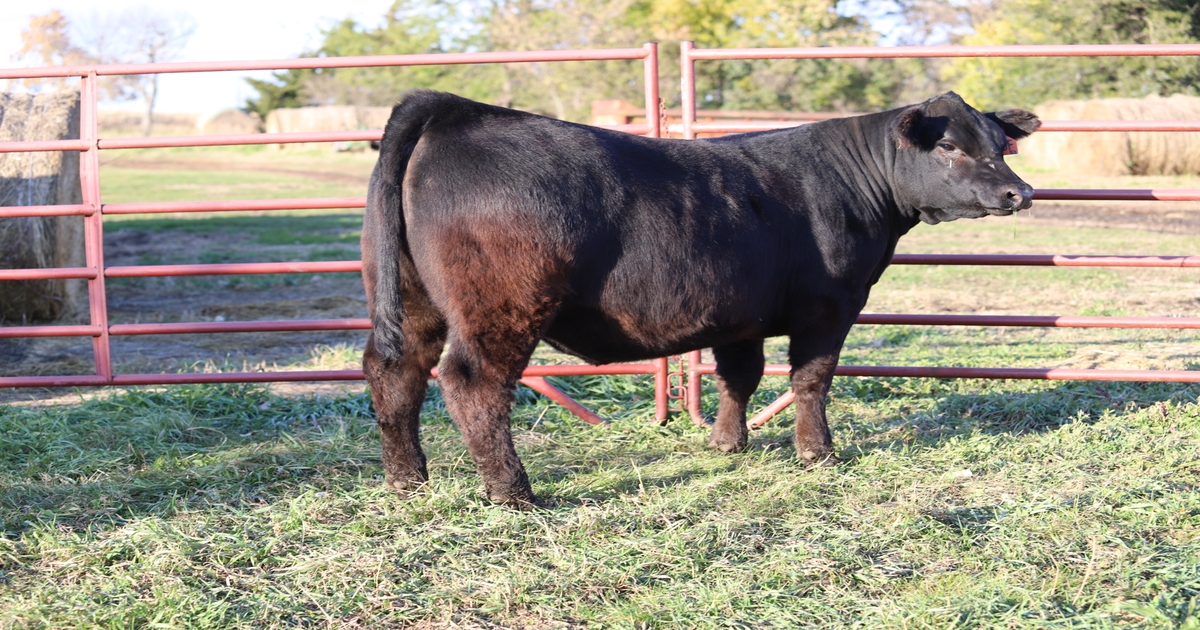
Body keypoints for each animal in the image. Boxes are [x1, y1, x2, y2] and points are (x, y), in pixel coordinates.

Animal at [361, 89, 1040, 508]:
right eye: (948, 146)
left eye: (1000, 144)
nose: (1020, 193)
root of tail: (453, 108)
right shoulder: (829, 306)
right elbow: (811, 379)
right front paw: (818, 453)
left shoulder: (740, 313)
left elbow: (740, 375)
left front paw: (726, 443)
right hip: (501, 308)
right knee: (472, 383)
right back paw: (514, 493)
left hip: (412, 303)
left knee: (395, 373)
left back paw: (407, 481)